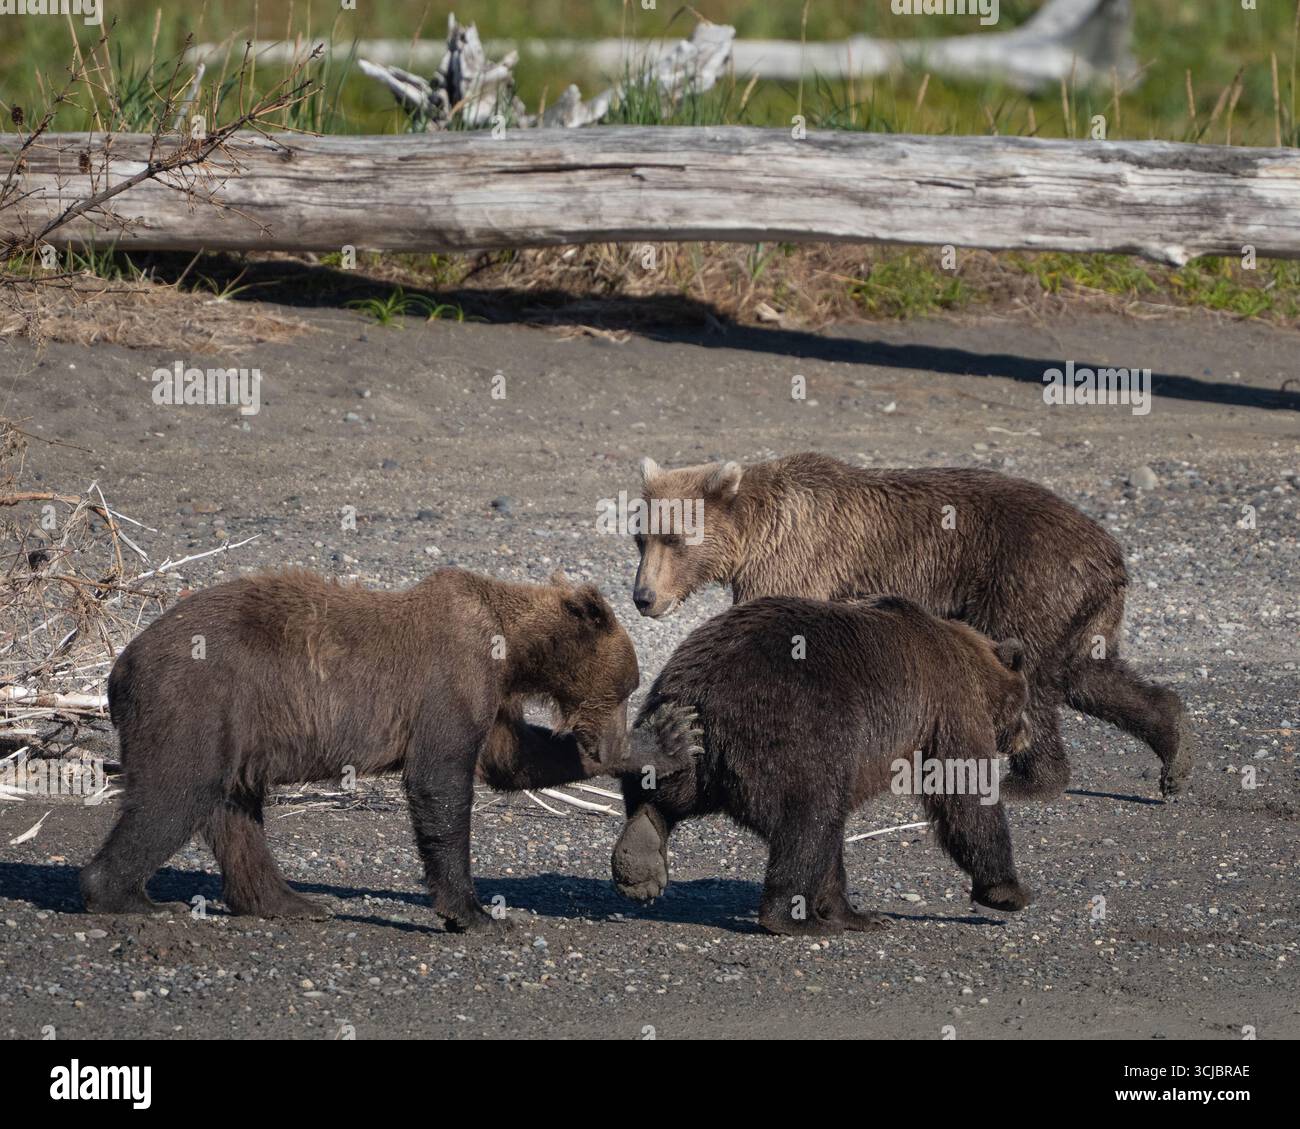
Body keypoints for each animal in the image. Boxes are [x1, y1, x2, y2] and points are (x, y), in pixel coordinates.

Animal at [80, 567, 693, 932]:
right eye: (626, 685)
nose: (610, 737)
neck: (513, 651)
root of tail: (118, 663)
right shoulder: (451, 679)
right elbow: (440, 782)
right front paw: (474, 913)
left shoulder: (492, 696)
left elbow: (512, 759)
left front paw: (671, 738)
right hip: (197, 701)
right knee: (174, 795)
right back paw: (127, 896)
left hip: (237, 727)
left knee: (235, 815)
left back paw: (293, 903)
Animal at [612, 595, 1035, 933]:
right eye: (1025, 703)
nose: (1025, 736)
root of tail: (702, 692)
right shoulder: (949, 702)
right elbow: (963, 786)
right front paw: (1007, 891)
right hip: (797, 732)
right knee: (811, 820)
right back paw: (798, 919)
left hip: (684, 731)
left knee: (663, 788)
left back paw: (640, 858)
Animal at [628, 451, 1191, 802]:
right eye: (641, 537)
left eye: (674, 538)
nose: (643, 597)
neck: (757, 534)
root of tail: (1110, 551)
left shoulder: (800, 562)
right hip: (1080, 608)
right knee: (1089, 675)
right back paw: (1172, 748)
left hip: (1029, 579)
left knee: (1029, 671)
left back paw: (1029, 781)